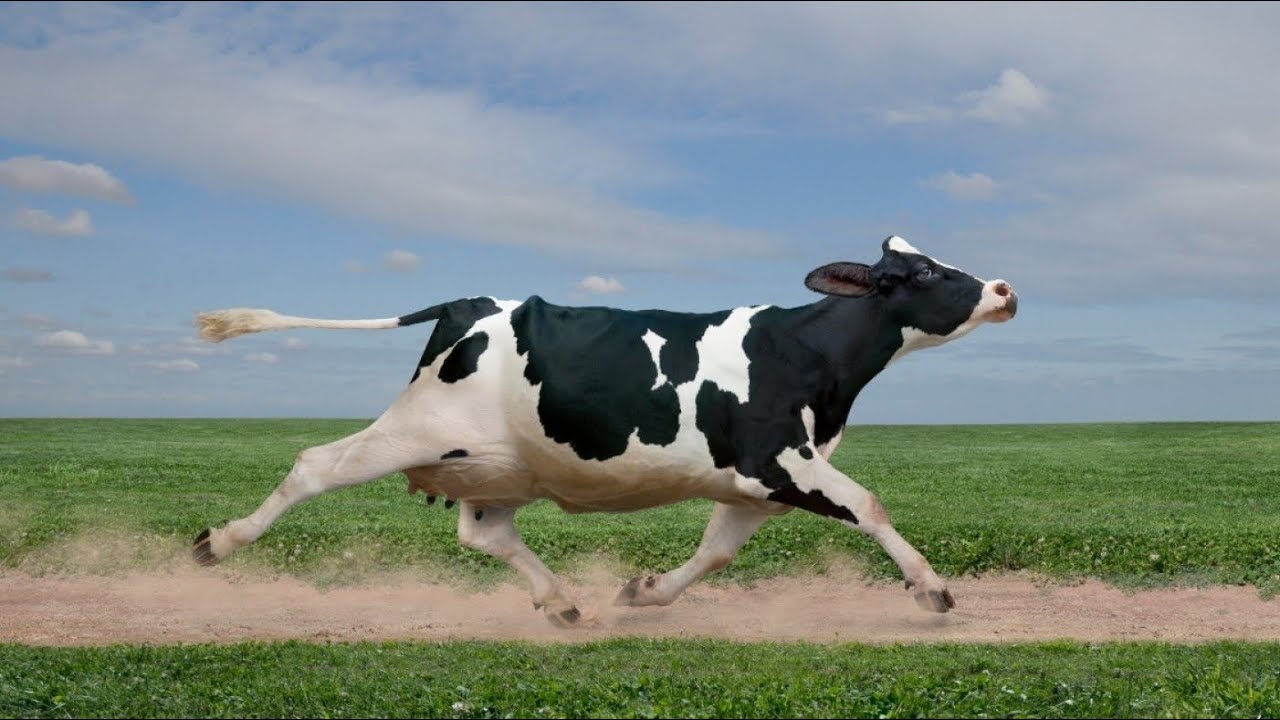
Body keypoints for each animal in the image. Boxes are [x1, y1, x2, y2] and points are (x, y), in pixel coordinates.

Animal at [191, 236, 1017, 626]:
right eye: (920, 273)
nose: (1004, 289)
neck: (806, 353)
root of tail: (466, 302)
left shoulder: (752, 483)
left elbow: (715, 553)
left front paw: (644, 592)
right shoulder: (783, 460)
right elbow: (871, 505)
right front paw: (932, 591)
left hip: (499, 464)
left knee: (485, 532)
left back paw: (561, 602)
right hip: (418, 428)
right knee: (315, 464)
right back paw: (217, 543)